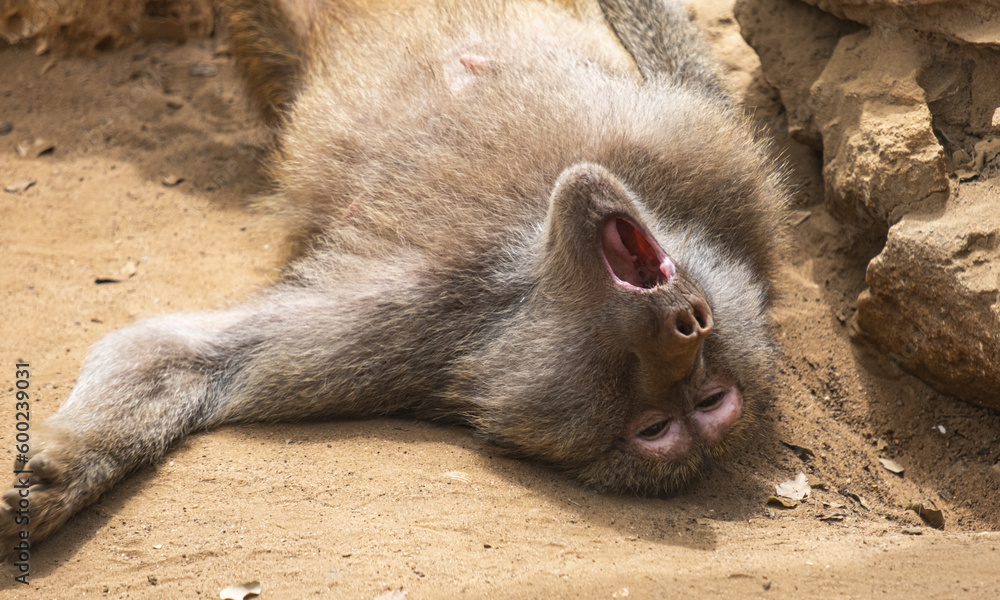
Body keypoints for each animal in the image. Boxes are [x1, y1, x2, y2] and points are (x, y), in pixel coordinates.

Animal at [0, 0, 788, 553]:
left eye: (668, 422)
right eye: (701, 389)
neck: (526, 255)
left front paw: (55, 480)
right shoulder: (724, 171)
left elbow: (177, 353)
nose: (681, 321)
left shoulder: (409, 328)